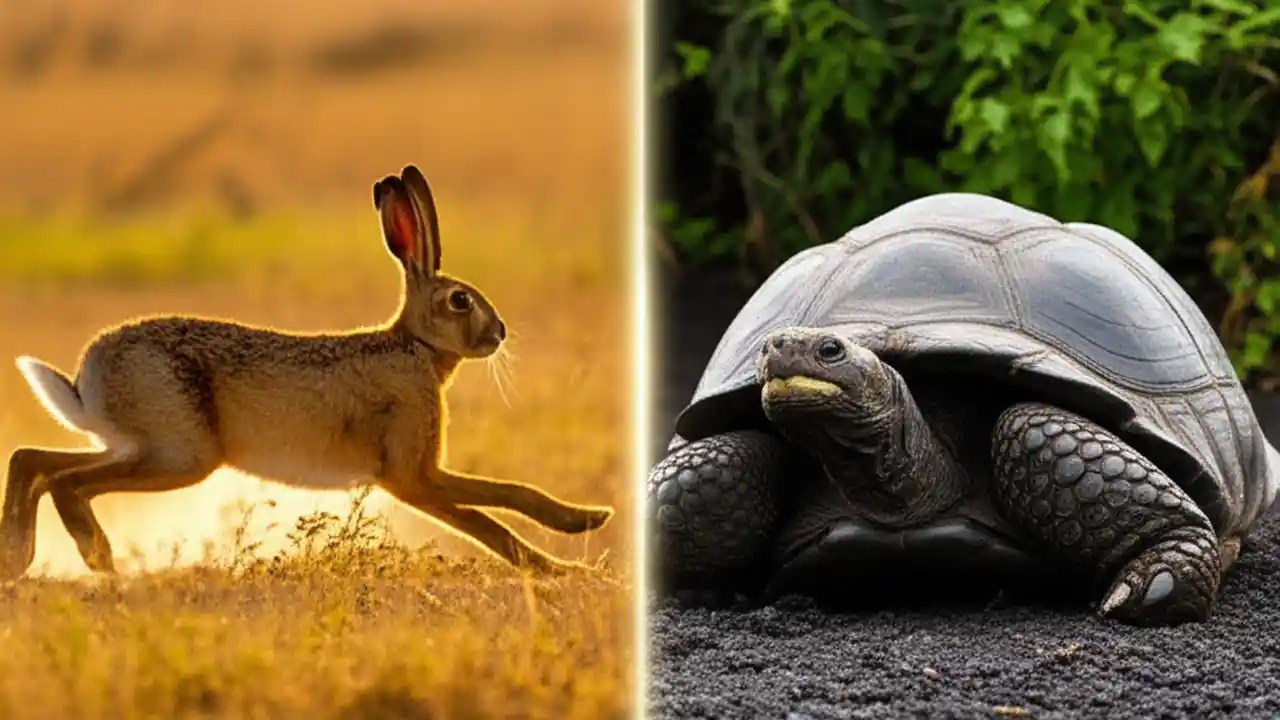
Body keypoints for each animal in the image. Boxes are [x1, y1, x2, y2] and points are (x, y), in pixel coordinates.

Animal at [1, 164, 614, 578]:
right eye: (460, 301)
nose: (500, 333)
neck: (414, 347)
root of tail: (88, 379)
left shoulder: (416, 474)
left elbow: (496, 506)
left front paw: (581, 537)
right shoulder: (411, 474)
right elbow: (495, 514)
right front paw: (576, 553)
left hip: (143, 447)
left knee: (33, 460)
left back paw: (19, 559)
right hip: (180, 455)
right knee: (64, 480)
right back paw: (96, 558)